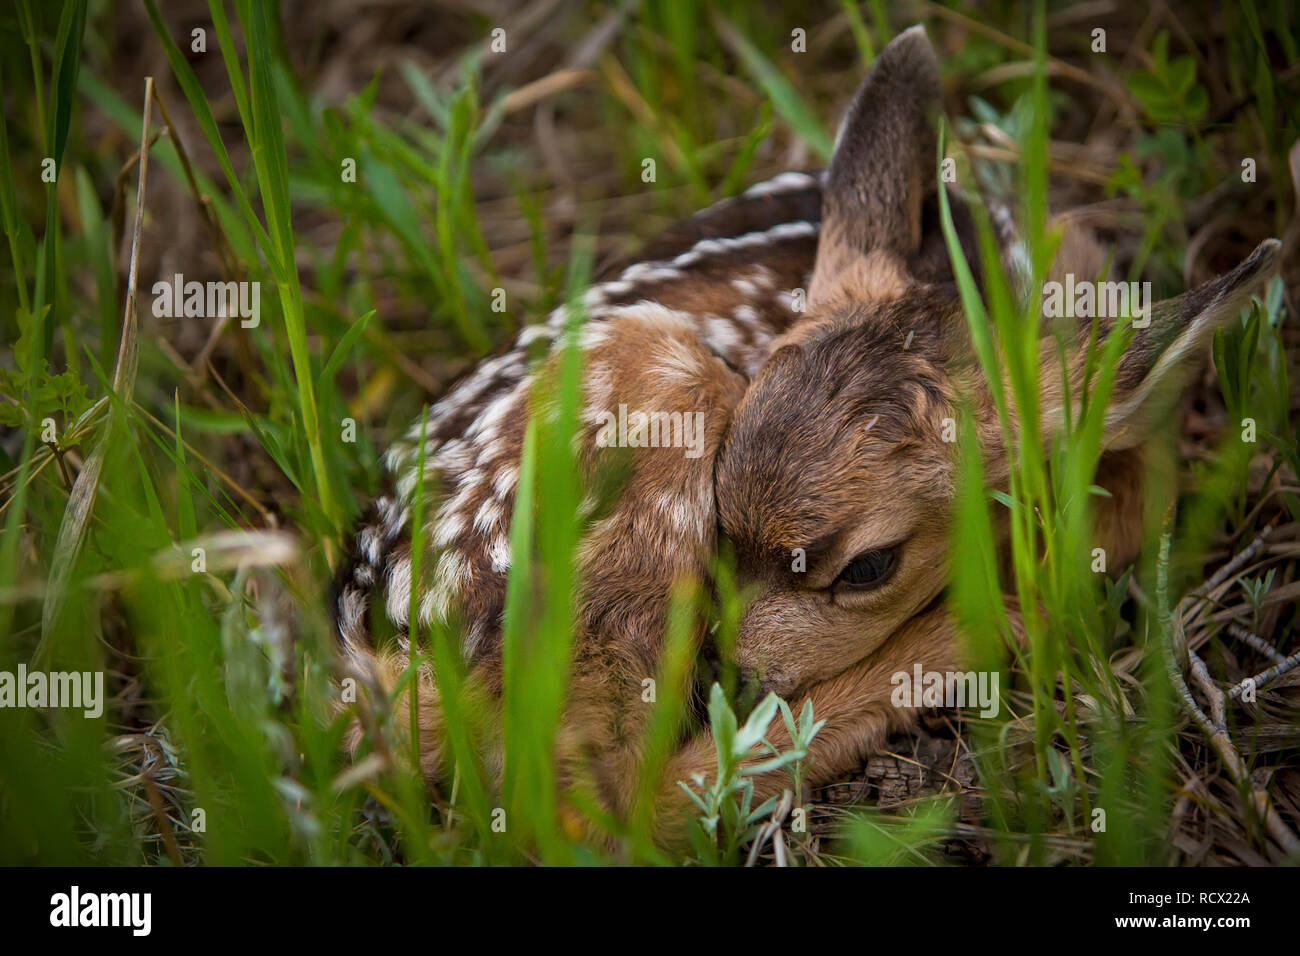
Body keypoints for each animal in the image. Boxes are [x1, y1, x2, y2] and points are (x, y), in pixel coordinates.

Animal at [335, 25, 1280, 853]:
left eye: (869, 567)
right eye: (720, 506)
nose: (730, 676)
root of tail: (383, 662)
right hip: (654, 381)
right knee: (594, 811)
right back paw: (953, 645)